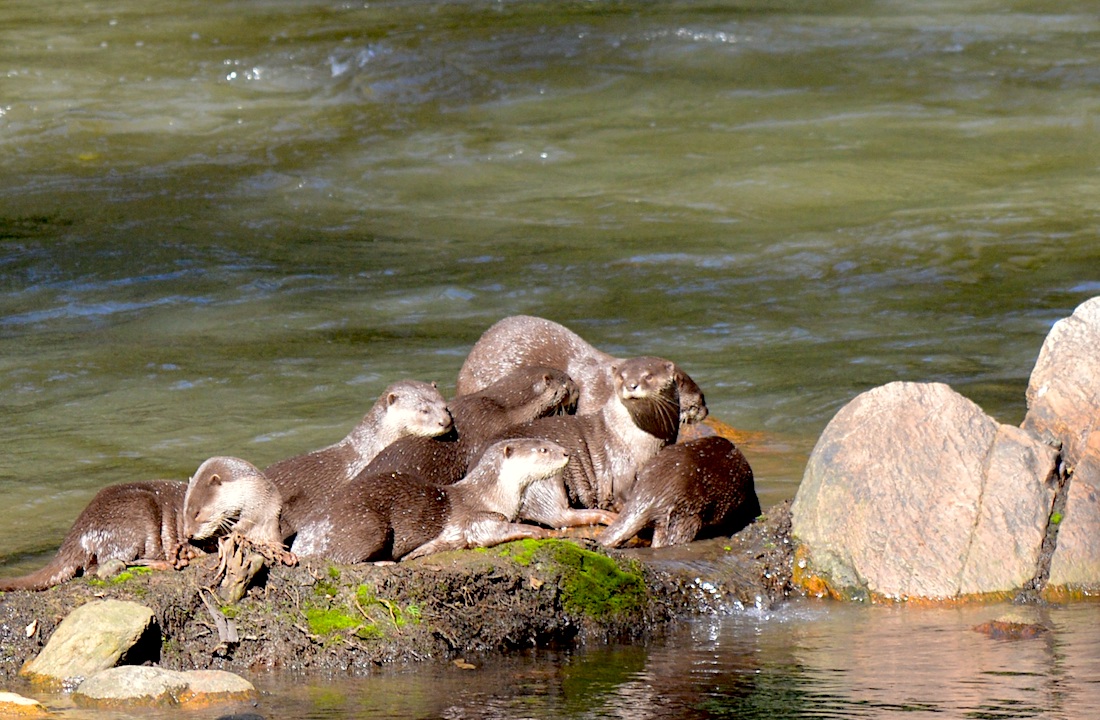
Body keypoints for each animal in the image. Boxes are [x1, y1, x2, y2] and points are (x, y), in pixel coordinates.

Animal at [289, 439, 573, 563]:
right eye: (543, 450)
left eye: (548, 441)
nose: (566, 452)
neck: (491, 495)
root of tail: (304, 541)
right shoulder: (476, 518)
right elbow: (489, 531)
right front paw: (540, 531)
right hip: (368, 525)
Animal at [496, 356, 681, 526]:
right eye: (622, 377)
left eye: (649, 376)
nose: (631, 385)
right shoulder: (619, 464)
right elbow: (622, 493)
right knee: (559, 516)